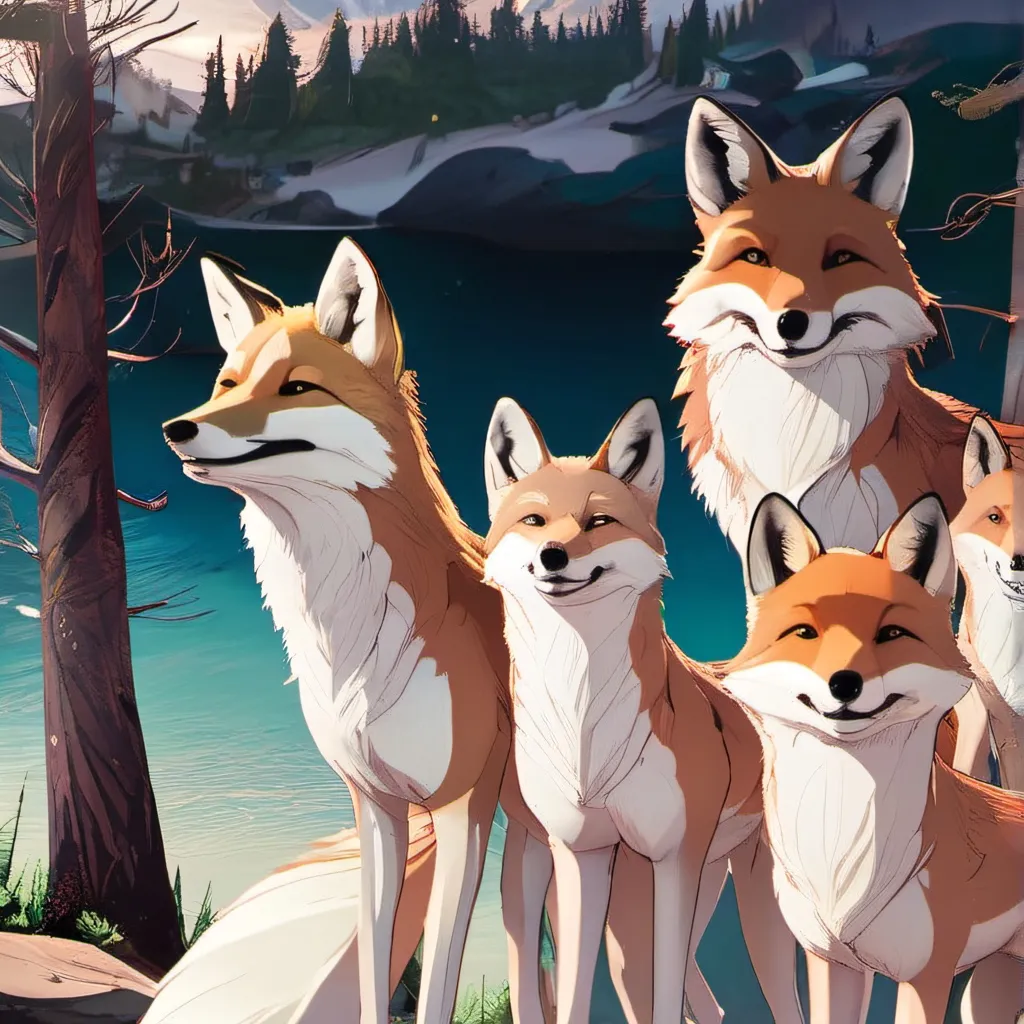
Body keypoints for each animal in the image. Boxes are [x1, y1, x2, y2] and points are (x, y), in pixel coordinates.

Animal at [482, 396, 805, 1024]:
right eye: (534, 522)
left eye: (598, 523)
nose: (553, 556)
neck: (585, 729)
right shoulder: (580, 856)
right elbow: (574, 994)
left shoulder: (672, 861)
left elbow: (661, 998)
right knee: (709, 1005)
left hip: (754, 899)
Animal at [720, 490, 1024, 1024]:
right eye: (806, 632)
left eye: (891, 634)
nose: (845, 683)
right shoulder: (830, 963)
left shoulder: (928, 975)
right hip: (986, 995)